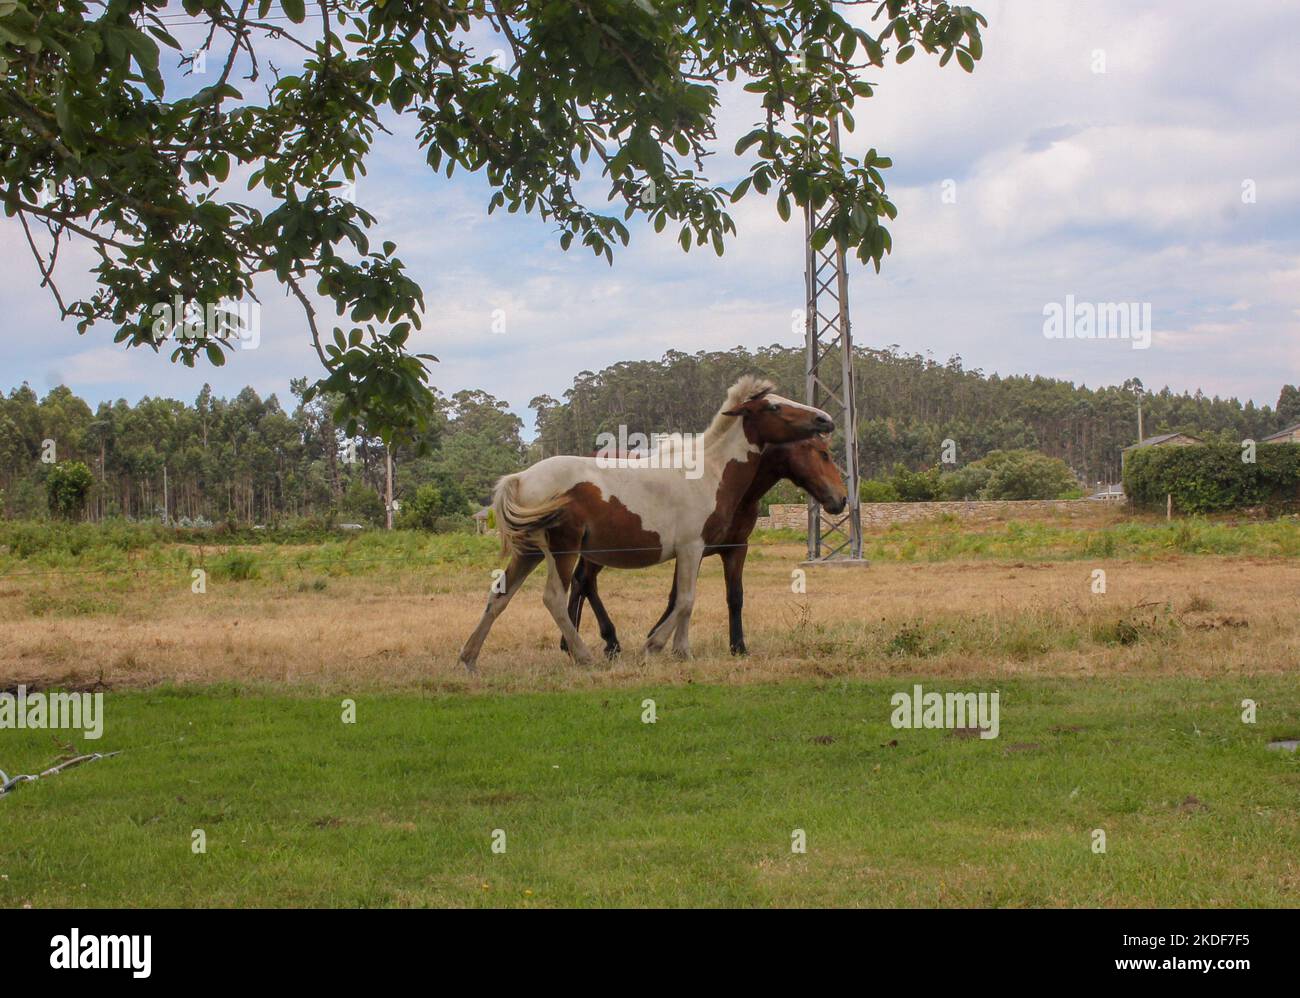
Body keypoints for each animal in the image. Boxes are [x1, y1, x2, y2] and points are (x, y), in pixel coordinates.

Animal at [564, 433, 848, 658]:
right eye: (823, 454)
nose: (842, 498)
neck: (727, 483)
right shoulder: (691, 550)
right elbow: (678, 597)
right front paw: (658, 638)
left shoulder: (735, 548)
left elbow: (734, 596)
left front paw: (738, 646)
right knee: (585, 582)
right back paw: (608, 641)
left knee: (580, 582)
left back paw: (570, 643)